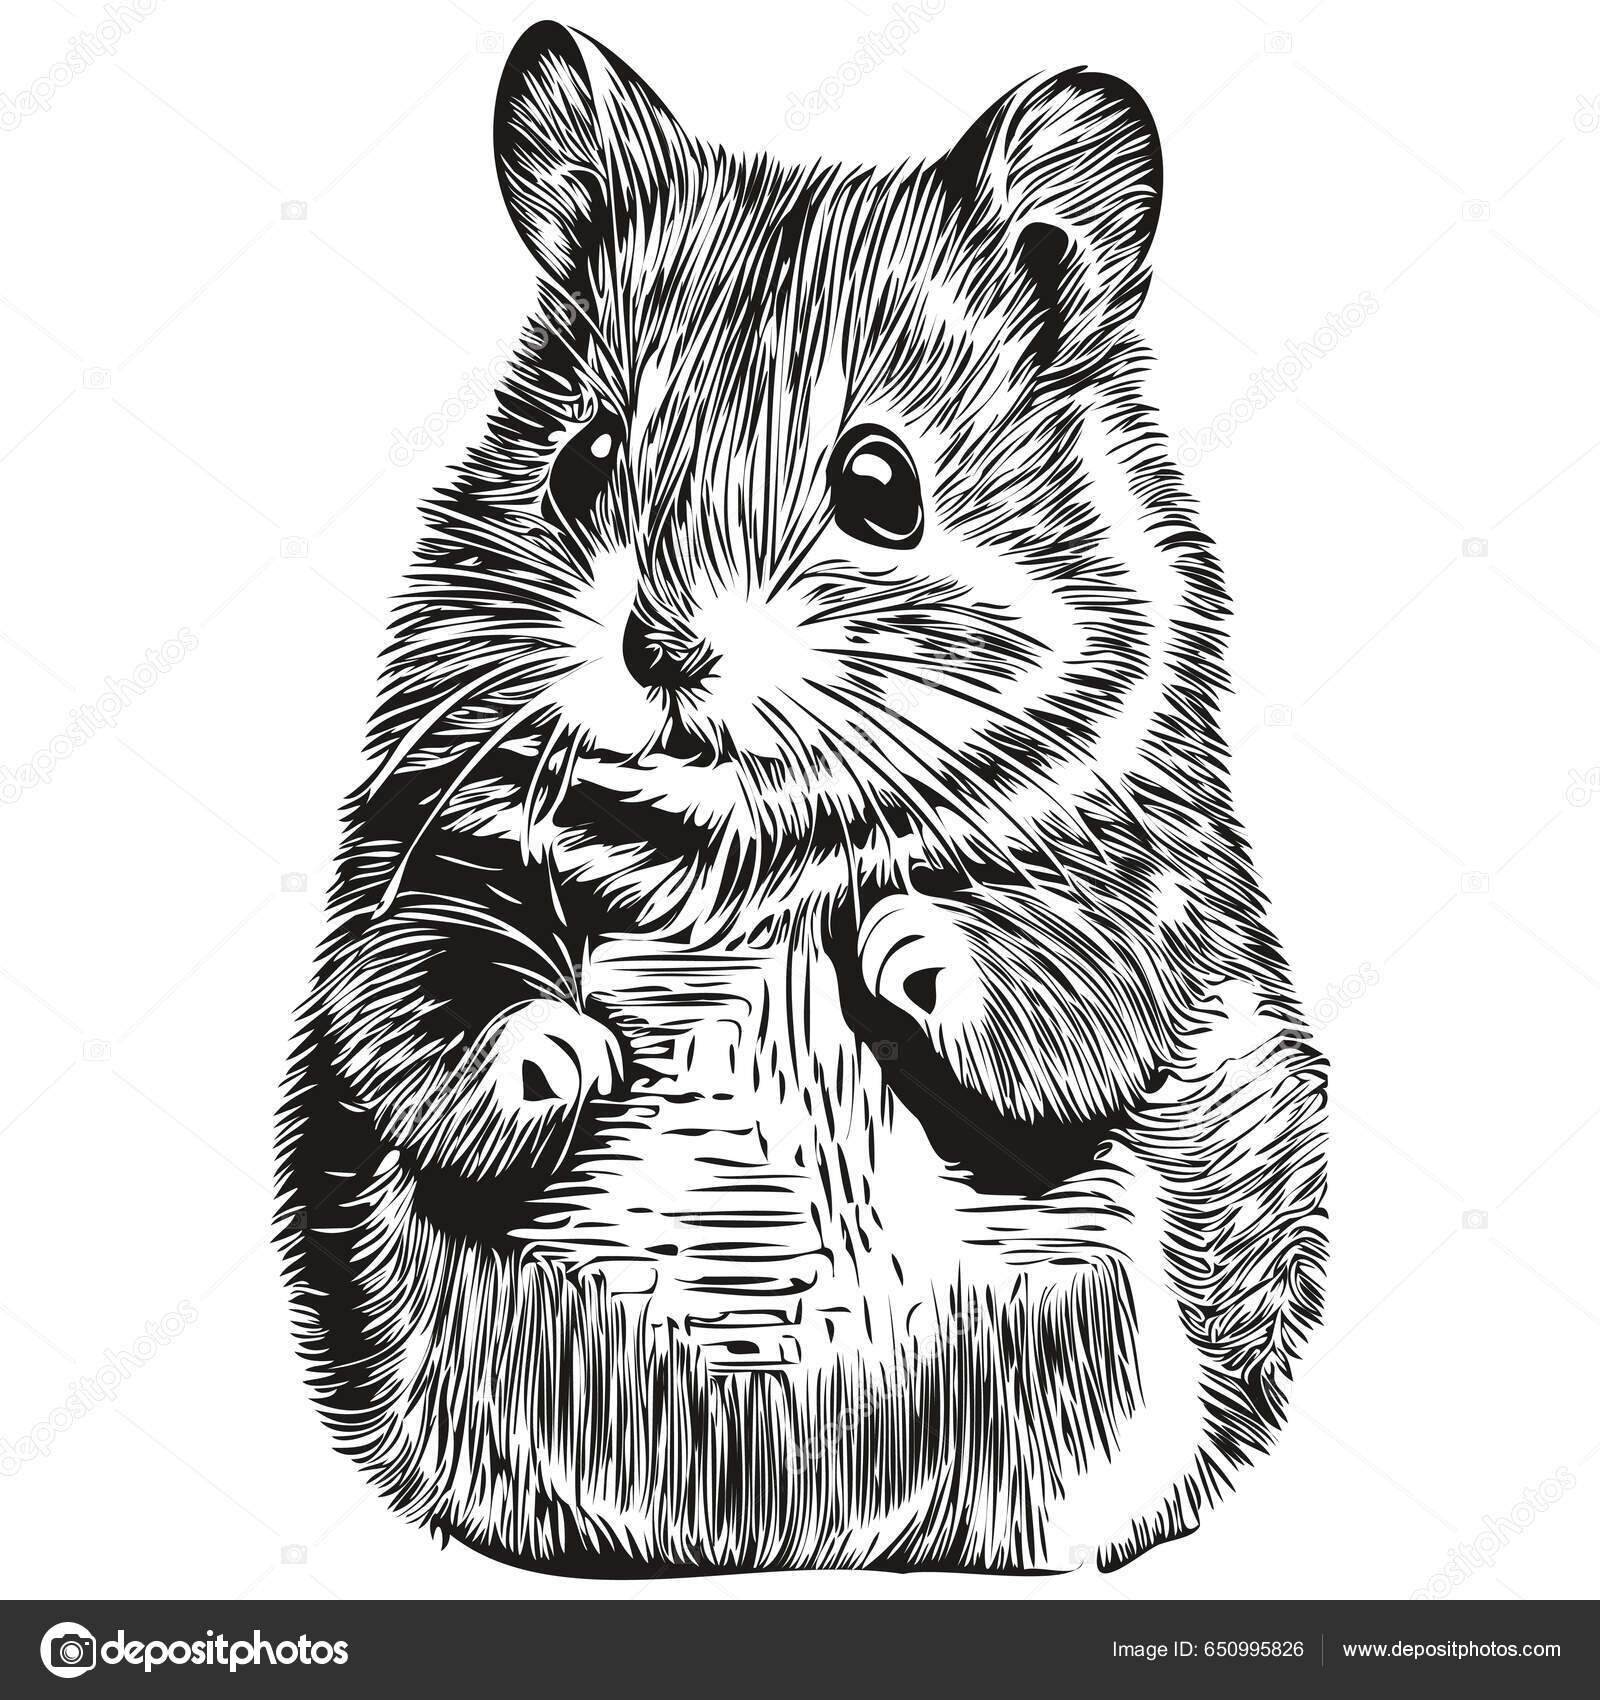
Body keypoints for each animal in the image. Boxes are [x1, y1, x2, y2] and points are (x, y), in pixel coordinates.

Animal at [277, 21, 1327, 1575]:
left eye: (881, 483)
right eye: (584, 456)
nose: (662, 652)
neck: (750, 838)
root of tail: (802, 1530)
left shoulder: (1145, 870)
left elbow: (1068, 980)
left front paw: (893, 941)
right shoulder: (432, 847)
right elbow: (426, 990)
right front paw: (572, 1060)